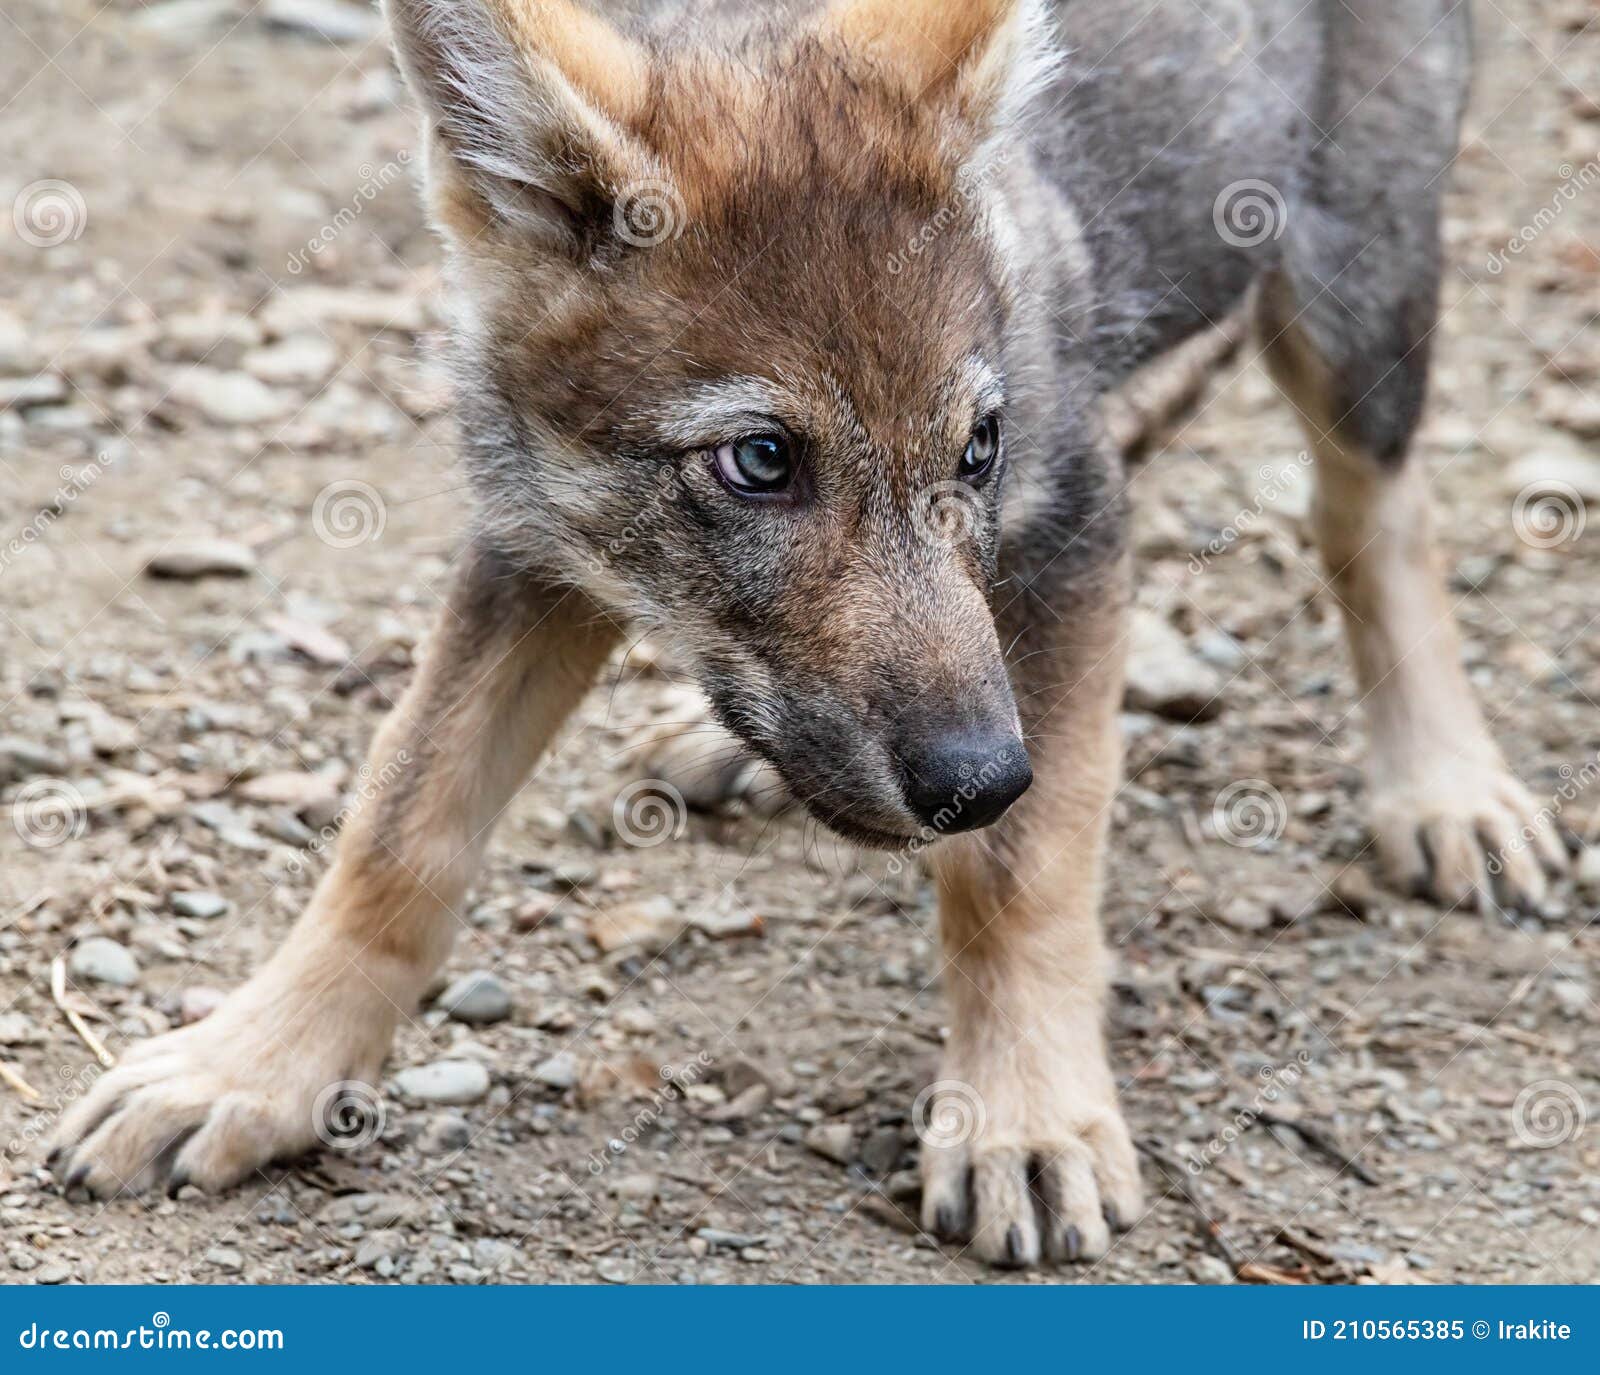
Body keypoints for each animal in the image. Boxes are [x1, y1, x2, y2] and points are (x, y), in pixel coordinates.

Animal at [49, 0, 1575, 1269]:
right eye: (762, 461)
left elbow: (1023, 871)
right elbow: (400, 826)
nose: (978, 774)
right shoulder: (532, 543)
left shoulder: (1065, 530)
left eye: (975, 450)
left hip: (1354, 282)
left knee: (1374, 512)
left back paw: (1446, 789)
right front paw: (253, 1064)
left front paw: (1023, 1115)